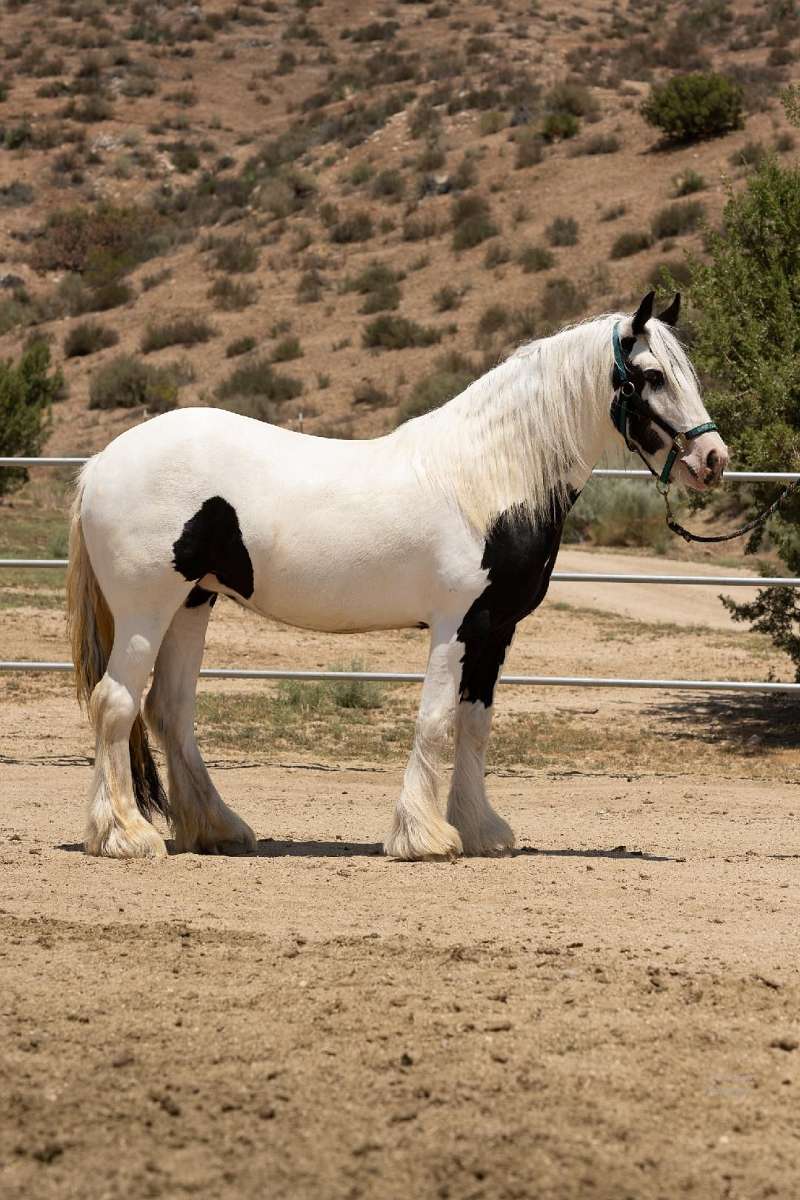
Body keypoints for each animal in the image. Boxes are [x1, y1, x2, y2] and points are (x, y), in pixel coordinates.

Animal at [66, 290, 729, 861]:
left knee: (169, 710)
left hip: (192, 604)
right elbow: (436, 723)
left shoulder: (494, 632)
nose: (713, 460)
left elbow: (474, 726)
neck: (488, 480)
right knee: (116, 702)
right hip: (146, 610)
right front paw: (423, 837)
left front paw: (481, 830)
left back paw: (217, 829)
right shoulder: (454, 626)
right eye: (652, 376)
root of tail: (101, 463)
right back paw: (124, 835)